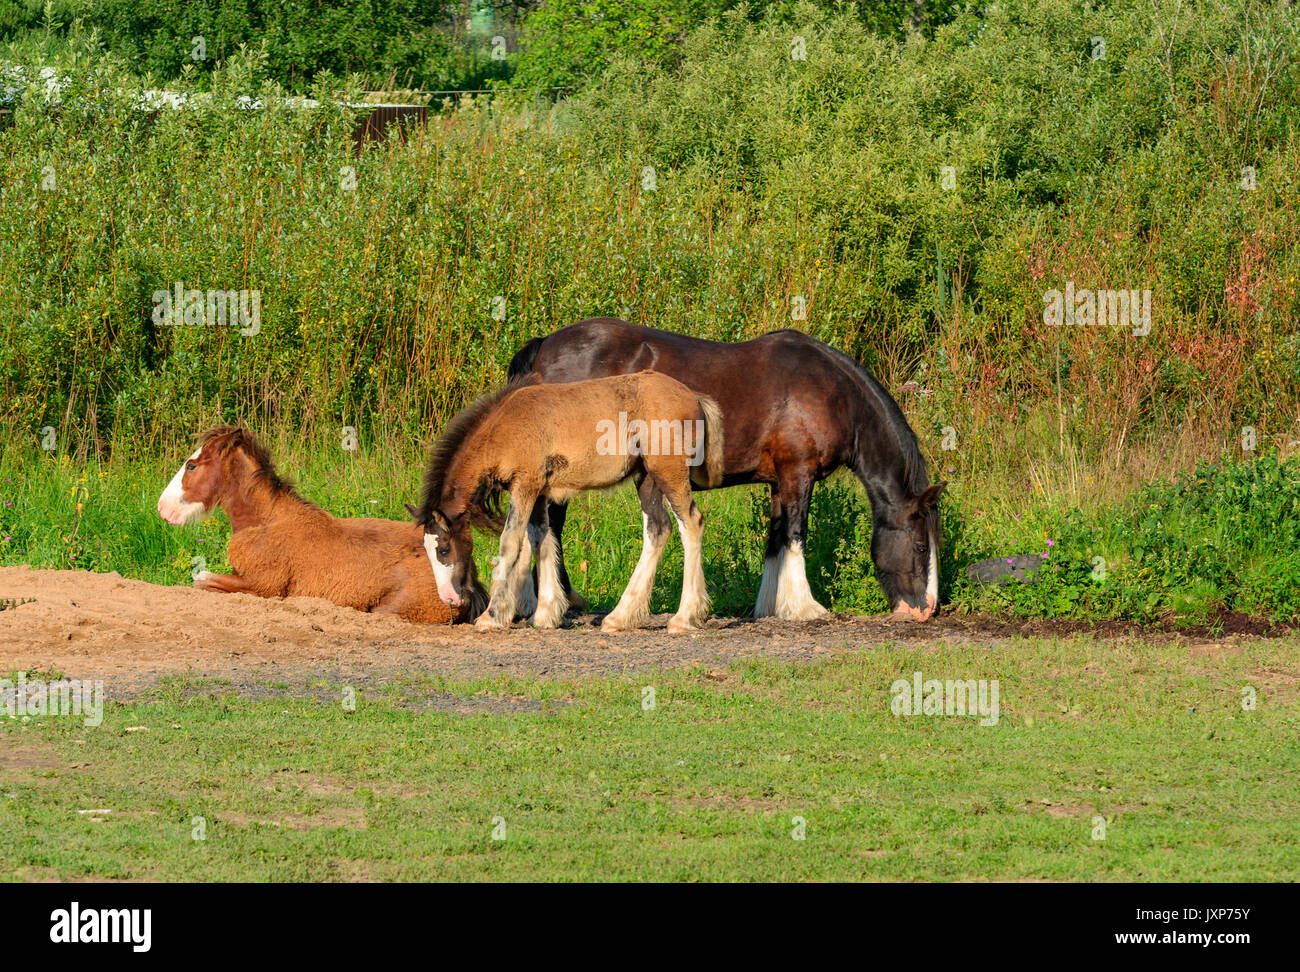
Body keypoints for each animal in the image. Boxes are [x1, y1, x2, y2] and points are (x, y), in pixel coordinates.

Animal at [156, 426, 486, 623]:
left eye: (191, 465)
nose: (162, 508)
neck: (265, 521)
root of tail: (465, 581)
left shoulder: (262, 587)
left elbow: (201, 579)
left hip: (392, 609)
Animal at [411, 372, 725, 633]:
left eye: (443, 549)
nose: (448, 598)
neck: (505, 426)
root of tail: (694, 397)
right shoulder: (539, 490)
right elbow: (540, 538)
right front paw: (546, 613)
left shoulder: (525, 484)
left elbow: (511, 543)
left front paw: (492, 616)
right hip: (645, 476)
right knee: (658, 530)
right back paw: (619, 618)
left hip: (669, 471)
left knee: (692, 522)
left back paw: (684, 617)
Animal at [508, 318, 945, 621]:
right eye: (921, 546)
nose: (927, 609)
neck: (829, 393)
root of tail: (546, 344)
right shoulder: (798, 475)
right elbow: (796, 535)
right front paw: (806, 607)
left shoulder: (779, 482)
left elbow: (775, 540)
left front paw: (771, 605)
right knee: (548, 524)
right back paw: (556, 602)